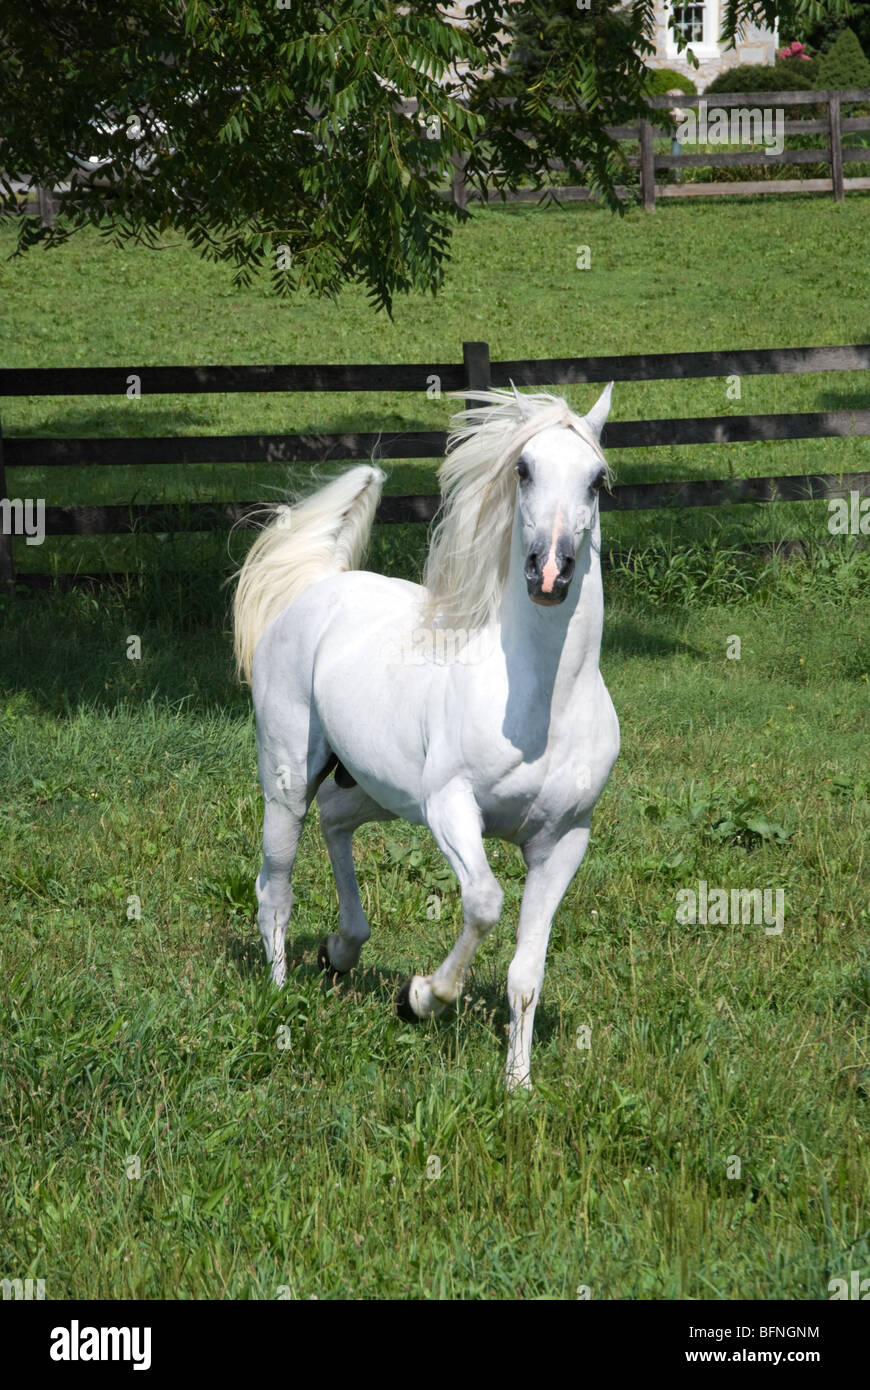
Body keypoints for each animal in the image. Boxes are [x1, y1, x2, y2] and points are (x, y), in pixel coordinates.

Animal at [232, 383, 620, 1090]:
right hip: (288, 781)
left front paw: (518, 1083)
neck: (541, 703)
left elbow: (527, 972)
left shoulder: (563, 840)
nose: (549, 574)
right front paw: (418, 999)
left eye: (597, 480)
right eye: (523, 470)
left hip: (381, 790)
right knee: (274, 888)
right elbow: (485, 901)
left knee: (335, 821)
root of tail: (318, 584)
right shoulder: (451, 807)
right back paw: (280, 999)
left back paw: (342, 950)